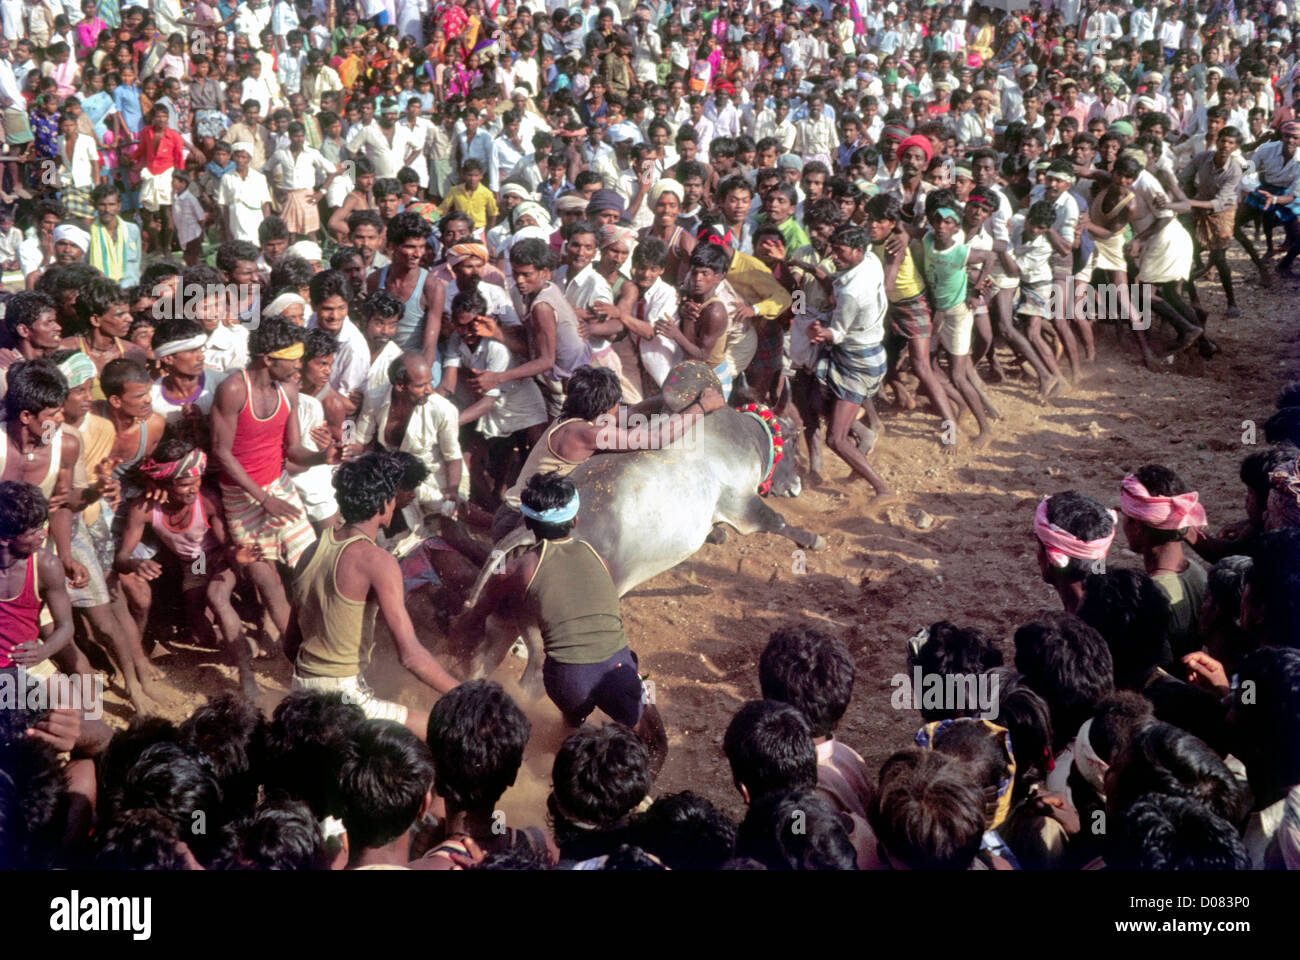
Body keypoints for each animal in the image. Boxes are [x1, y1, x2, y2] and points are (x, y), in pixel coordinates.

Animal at [460, 405, 826, 692]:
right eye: (791, 443)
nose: (796, 486)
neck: (744, 434)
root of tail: (527, 531)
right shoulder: (743, 505)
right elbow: (777, 522)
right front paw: (813, 539)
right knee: (535, 677)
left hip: (508, 614)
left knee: (487, 649)